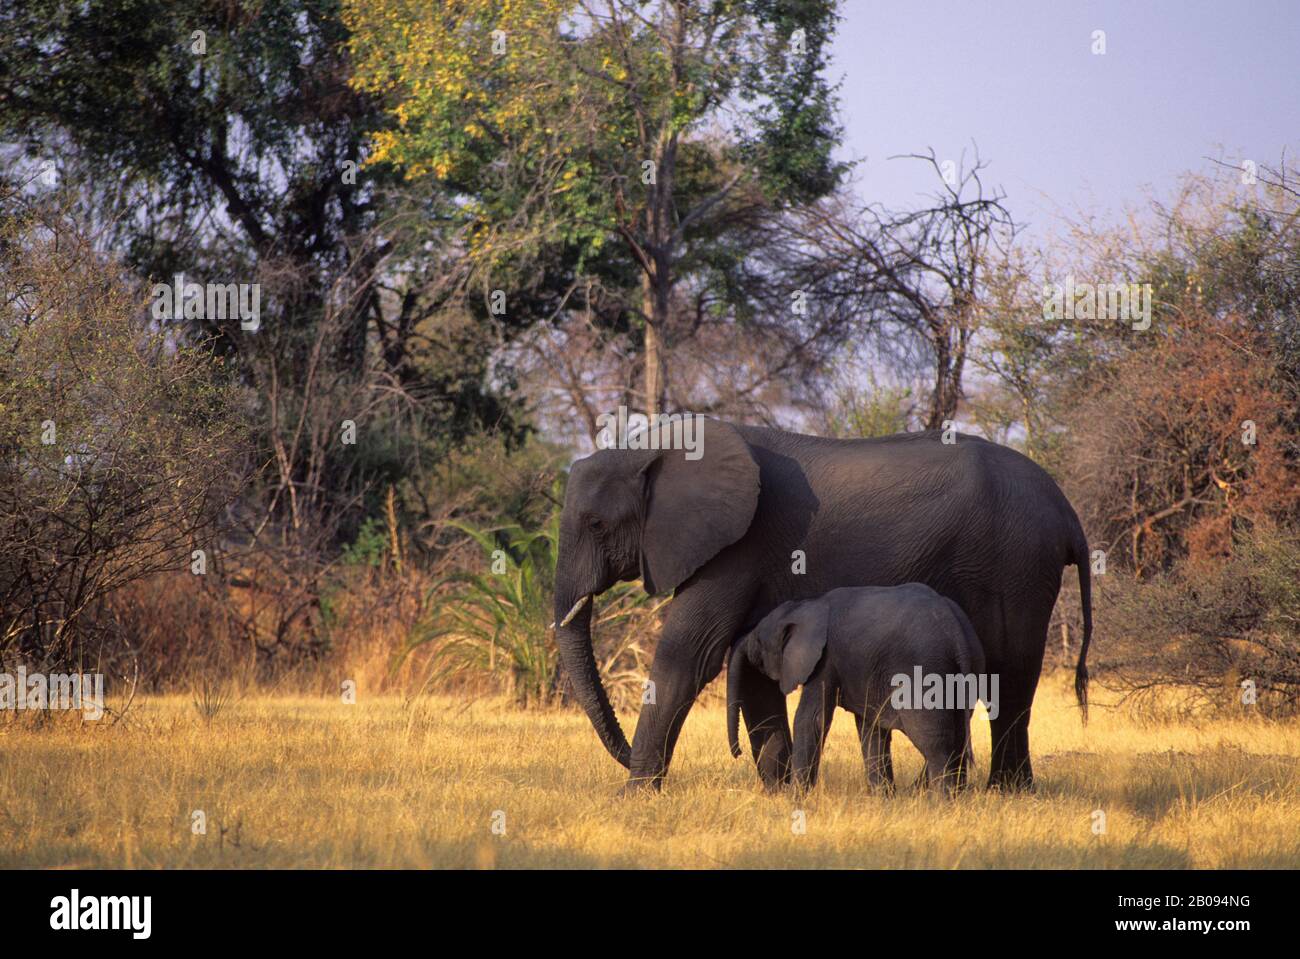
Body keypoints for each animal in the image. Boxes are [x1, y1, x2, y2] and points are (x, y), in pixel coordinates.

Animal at [725, 585, 987, 794]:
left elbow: (812, 719)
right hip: (969, 669)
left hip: (924, 671)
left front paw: (795, 798)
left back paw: (941, 802)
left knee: (935, 743)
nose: (737, 753)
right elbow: (870, 728)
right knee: (959, 737)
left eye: (758, 641)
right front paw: (883, 799)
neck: (807, 605)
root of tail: (956, 631)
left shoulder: (824, 660)